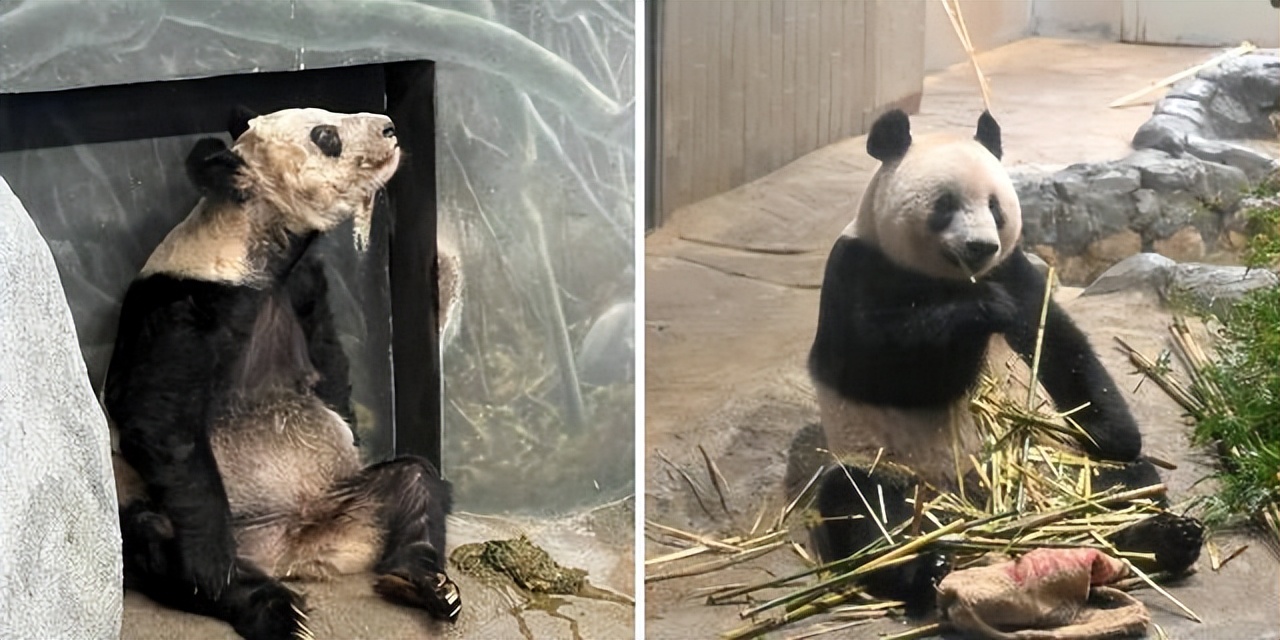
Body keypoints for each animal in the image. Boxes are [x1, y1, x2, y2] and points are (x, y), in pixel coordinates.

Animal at [104, 107, 459, 640]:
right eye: (326, 136)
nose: (390, 128)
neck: (252, 246)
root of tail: (291, 553)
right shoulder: (182, 306)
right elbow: (158, 415)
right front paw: (212, 562)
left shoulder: (303, 284)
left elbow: (330, 365)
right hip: (156, 500)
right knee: (161, 544)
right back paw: (270, 606)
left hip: (344, 500)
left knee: (415, 483)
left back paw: (423, 583)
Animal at [790, 109, 1204, 613]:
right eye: (945, 204)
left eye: (995, 206)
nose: (980, 247)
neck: (948, 276)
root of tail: (979, 503)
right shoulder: (857, 269)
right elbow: (881, 370)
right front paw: (981, 310)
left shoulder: (1015, 268)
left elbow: (1059, 343)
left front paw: (1113, 433)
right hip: (890, 467)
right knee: (864, 510)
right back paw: (924, 568)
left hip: (1061, 463)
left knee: (1126, 484)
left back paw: (1161, 538)